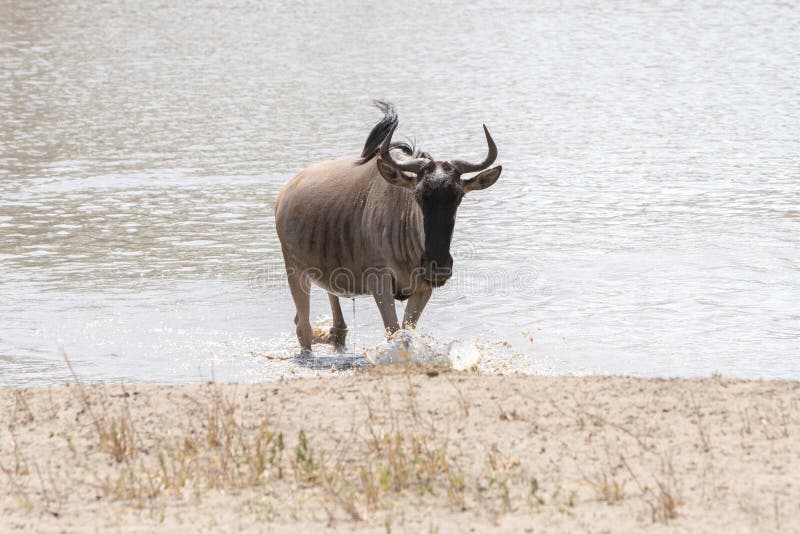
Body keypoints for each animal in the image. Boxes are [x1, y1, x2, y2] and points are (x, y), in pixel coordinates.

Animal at [275, 102, 501, 351]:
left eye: (458, 196)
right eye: (418, 196)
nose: (437, 267)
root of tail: (284, 194)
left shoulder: (423, 288)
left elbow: (407, 332)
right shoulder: (379, 281)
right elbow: (393, 332)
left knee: (335, 322)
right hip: (294, 271)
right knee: (302, 326)